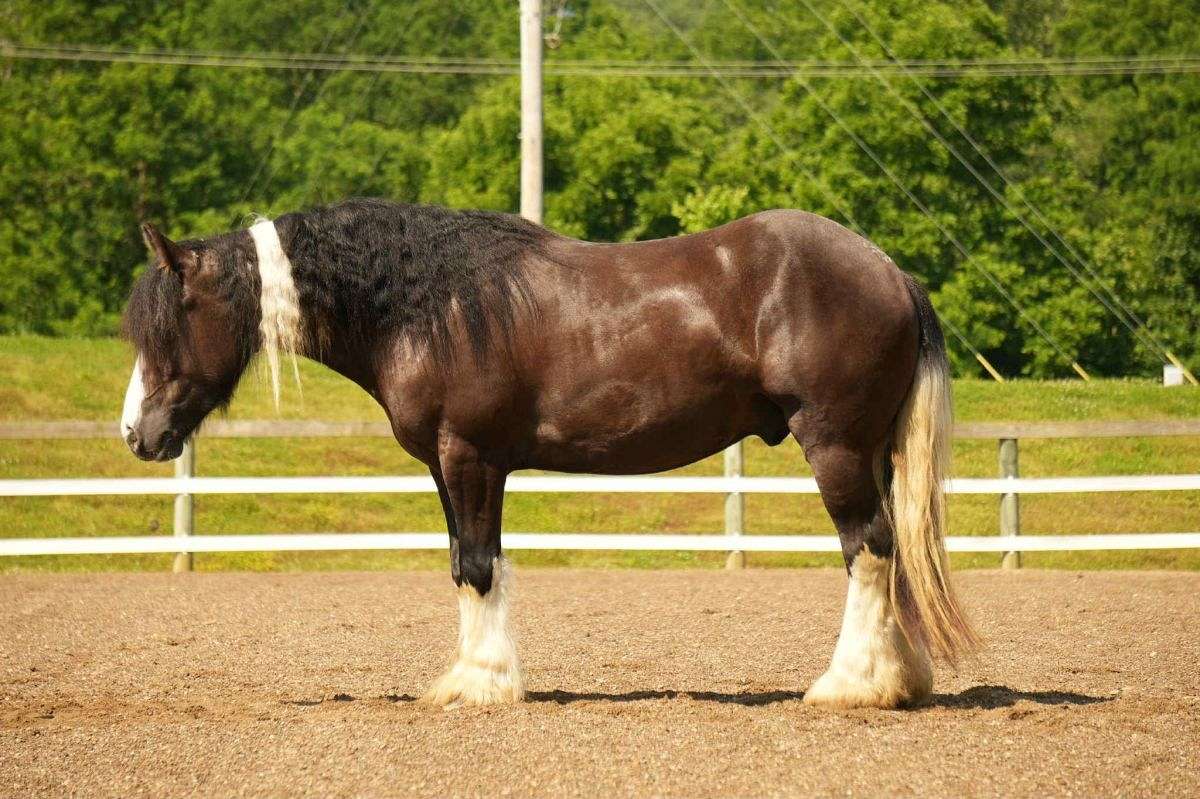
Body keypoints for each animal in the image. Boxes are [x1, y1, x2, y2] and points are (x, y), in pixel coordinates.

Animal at [120, 198, 978, 709]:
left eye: (173, 317)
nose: (138, 433)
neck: (431, 305)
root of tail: (890, 270)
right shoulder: (453, 465)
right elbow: (471, 563)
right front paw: (475, 677)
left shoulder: (469, 456)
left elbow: (477, 566)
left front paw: (481, 683)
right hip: (868, 453)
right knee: (891, 554)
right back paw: (900, 679)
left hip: (834, 445)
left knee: (867, 548)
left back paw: (848, 684)